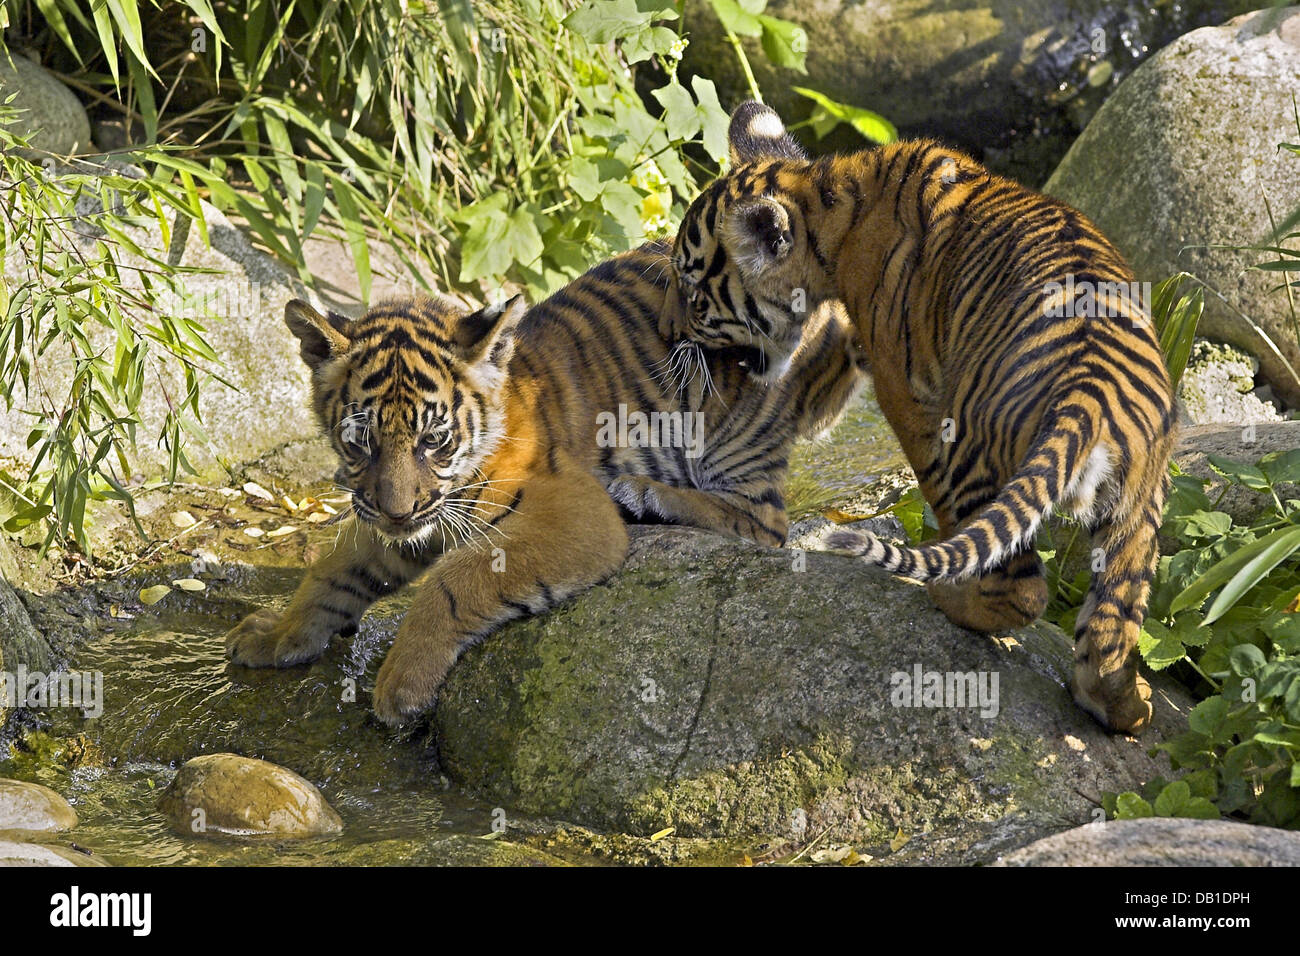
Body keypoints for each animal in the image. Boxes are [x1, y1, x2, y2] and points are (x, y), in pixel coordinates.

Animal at [222, 239, 866, 726]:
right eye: (360, 441)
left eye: (434, 440)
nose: (399, 514)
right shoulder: (390, 512)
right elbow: (332, 571)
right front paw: (277, 634)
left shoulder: (569, 512)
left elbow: (455, 583)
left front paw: (401, 684)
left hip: (739, 426)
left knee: (766, 521)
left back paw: (645, 494)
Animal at [669, 101, 1177, 735]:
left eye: (693, 293)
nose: (672, 331)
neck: (829, 202)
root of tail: (1089, 392)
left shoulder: (904, 389)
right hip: (1142, 503)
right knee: (1109, 634)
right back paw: (1125, 708)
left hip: (972, 446)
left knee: (1020, 585)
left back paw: (949, 598)